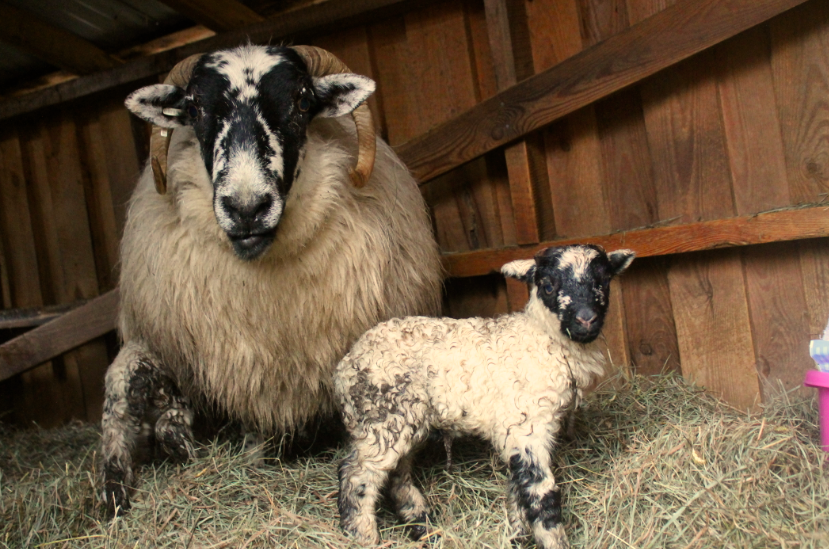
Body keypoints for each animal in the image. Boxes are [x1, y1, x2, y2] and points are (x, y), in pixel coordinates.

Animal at [334, 244, 635, 548]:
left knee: (398, 477)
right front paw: (553, 540)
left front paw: (517, 534)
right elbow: (542, 495)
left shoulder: (515, 431)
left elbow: (518, 491)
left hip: (406, 420)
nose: (586, 318)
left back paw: (423, 526)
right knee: (356, 475)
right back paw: (364, 535)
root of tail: (345, 366)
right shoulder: (528, 428)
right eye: (549, 285)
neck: (544, 338)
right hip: (381, 418)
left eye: (604, 280)